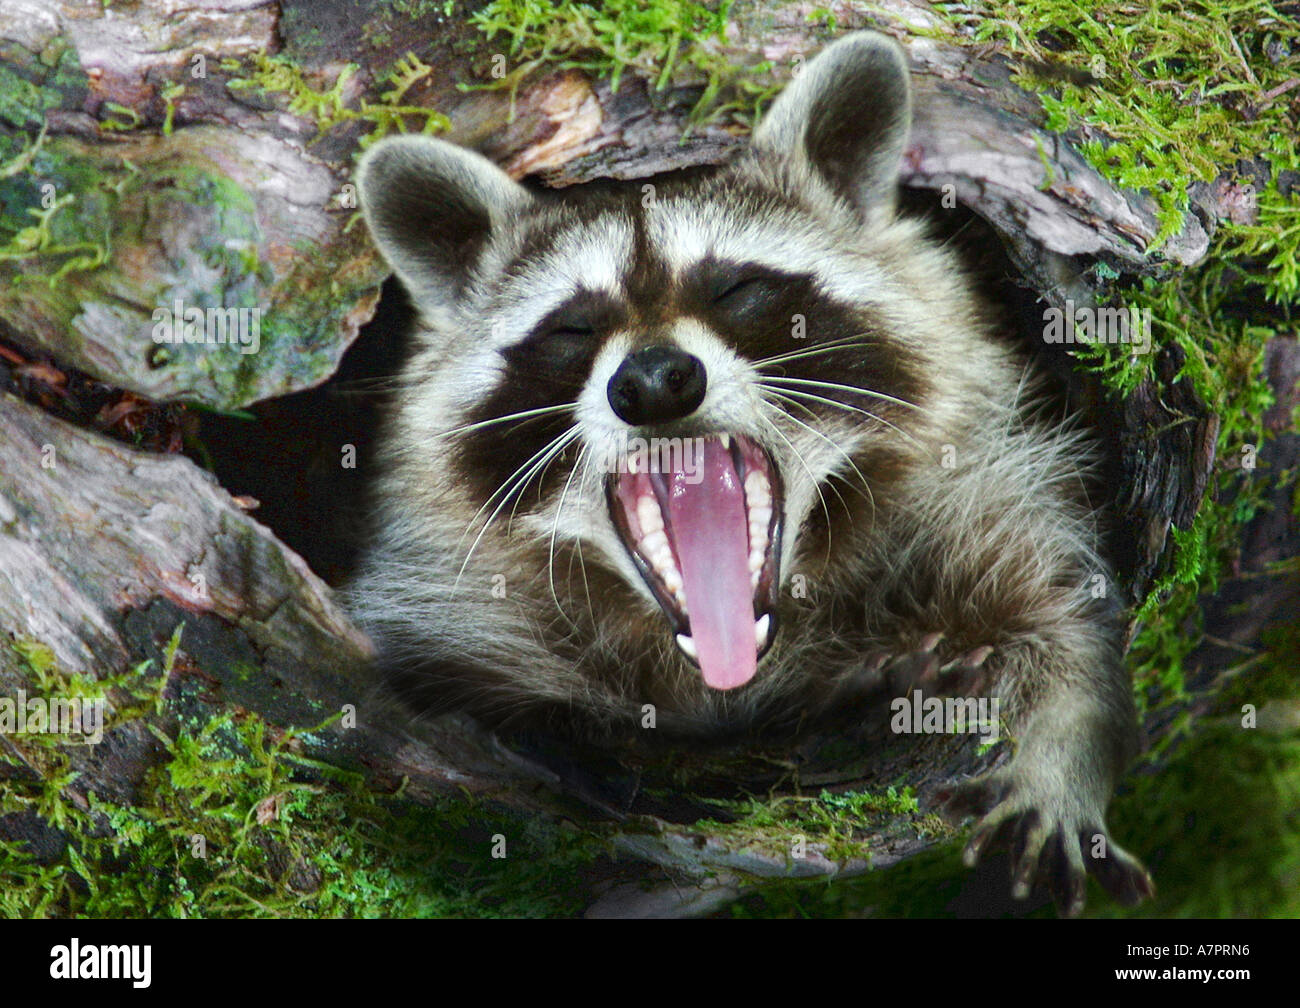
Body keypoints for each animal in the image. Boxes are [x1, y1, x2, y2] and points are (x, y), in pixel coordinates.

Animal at [349, 31, 1154, 913]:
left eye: (734, 289)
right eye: (572, 328)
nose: (655, 381)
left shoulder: (980, 481)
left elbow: (1066, 617)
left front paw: (1061, 752)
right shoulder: (454, 607)